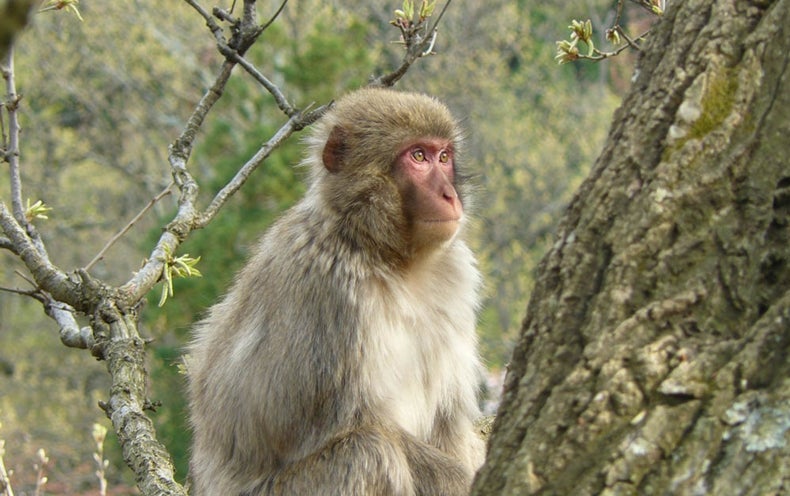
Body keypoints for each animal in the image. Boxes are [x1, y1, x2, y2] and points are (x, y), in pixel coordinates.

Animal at [187, 87, 484, 495]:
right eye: (418, 157)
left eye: (443, 157)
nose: (449, 194)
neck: (385, 253)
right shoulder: (334, 290)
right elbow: (357, 423)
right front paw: (464, 480)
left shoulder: (456, 279)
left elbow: (448, 421)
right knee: (372, 452)